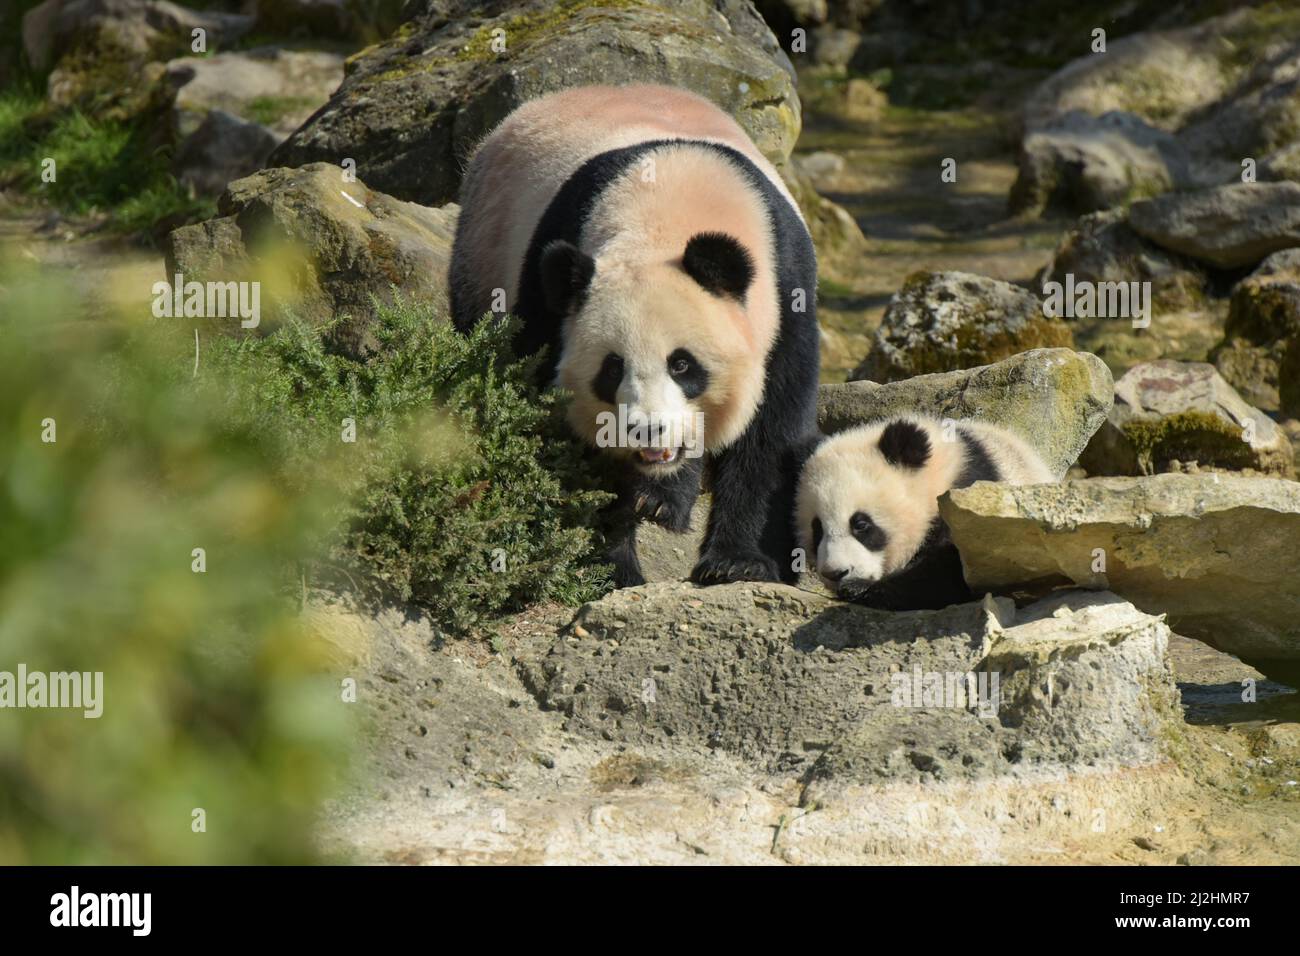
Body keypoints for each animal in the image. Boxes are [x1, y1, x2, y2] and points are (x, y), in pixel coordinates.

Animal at [449, 84, 820, 587]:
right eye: (611, 369)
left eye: (682, 364)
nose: (646, 429)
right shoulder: (551, 295)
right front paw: (610, 566)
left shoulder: (785, 297)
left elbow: (771, 434)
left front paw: (741, 563)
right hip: (484, 251)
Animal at [794, 415, 1054, 611]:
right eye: (817, 529)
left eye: (861, 524)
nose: (835, 573)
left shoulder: (970, 500)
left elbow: (951, 572)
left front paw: (861, 588)